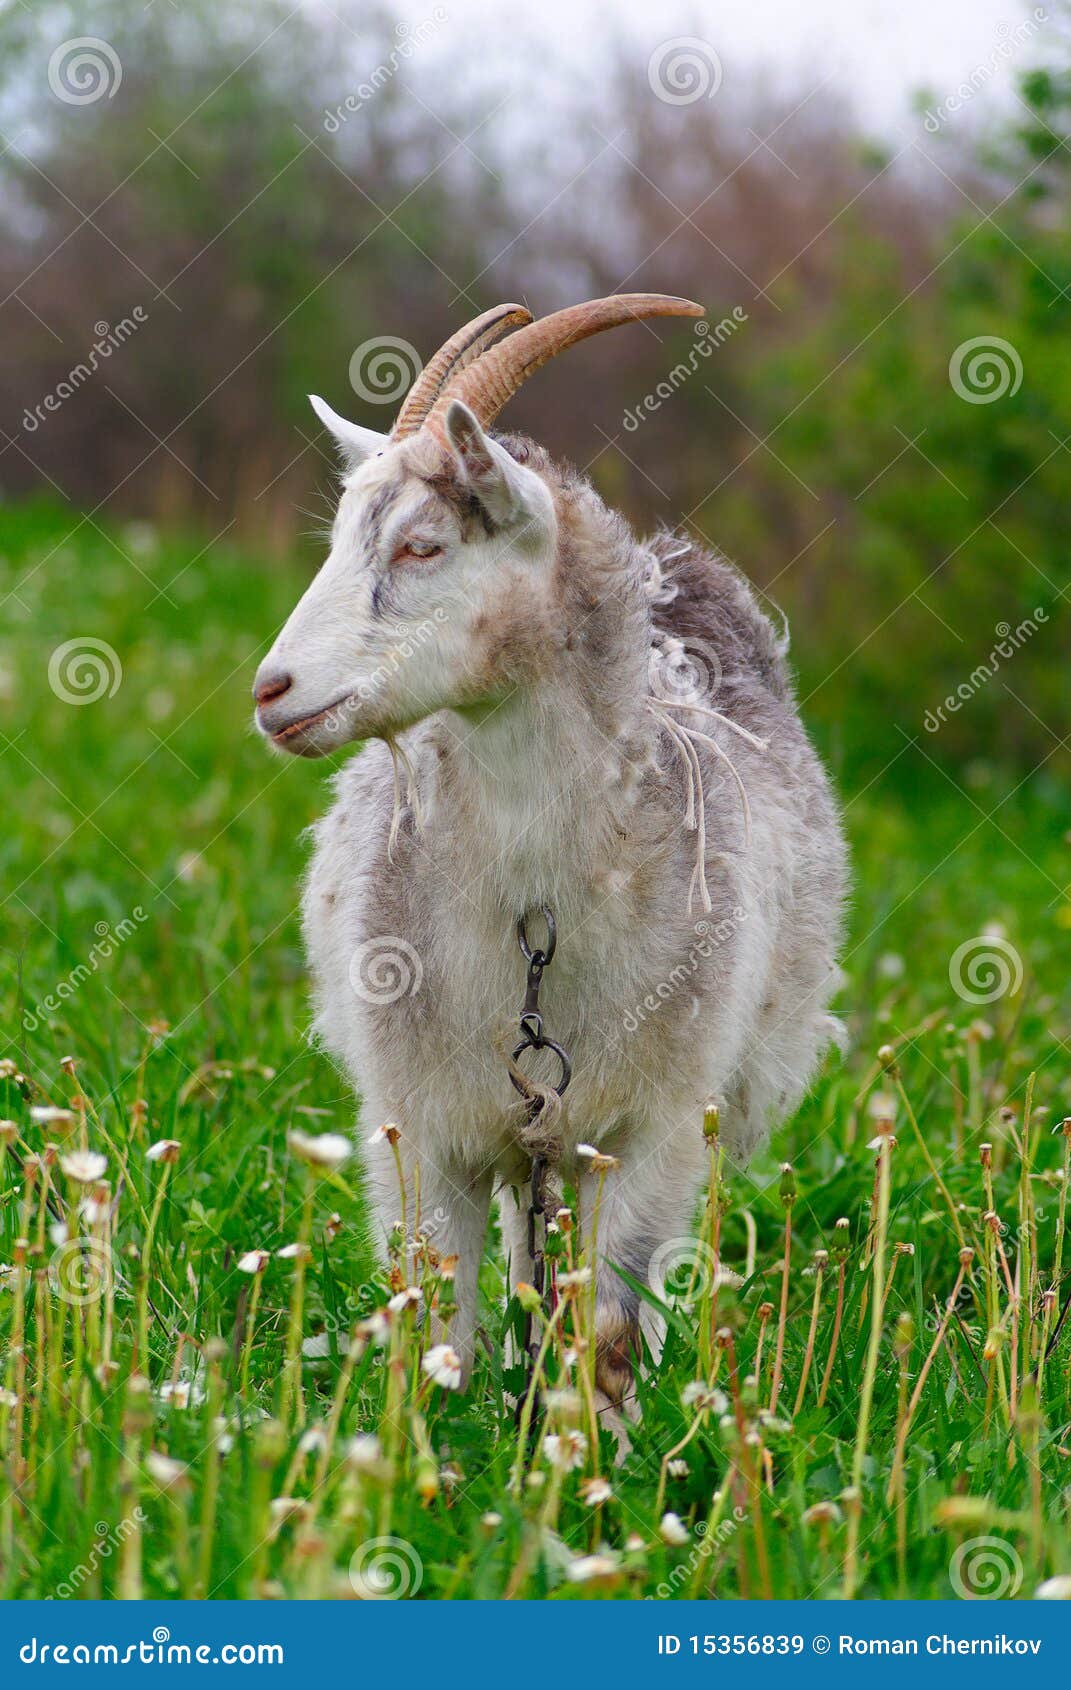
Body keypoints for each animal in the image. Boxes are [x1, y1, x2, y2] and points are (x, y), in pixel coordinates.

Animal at [253, 295, 847, 1413]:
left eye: (423, 546)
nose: (272, 691)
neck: (535, 906)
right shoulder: (420, 1123)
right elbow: (432, 1314)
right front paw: (428, 1441)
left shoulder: (654, 1125)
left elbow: (607, 1325)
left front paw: (594, 1446)